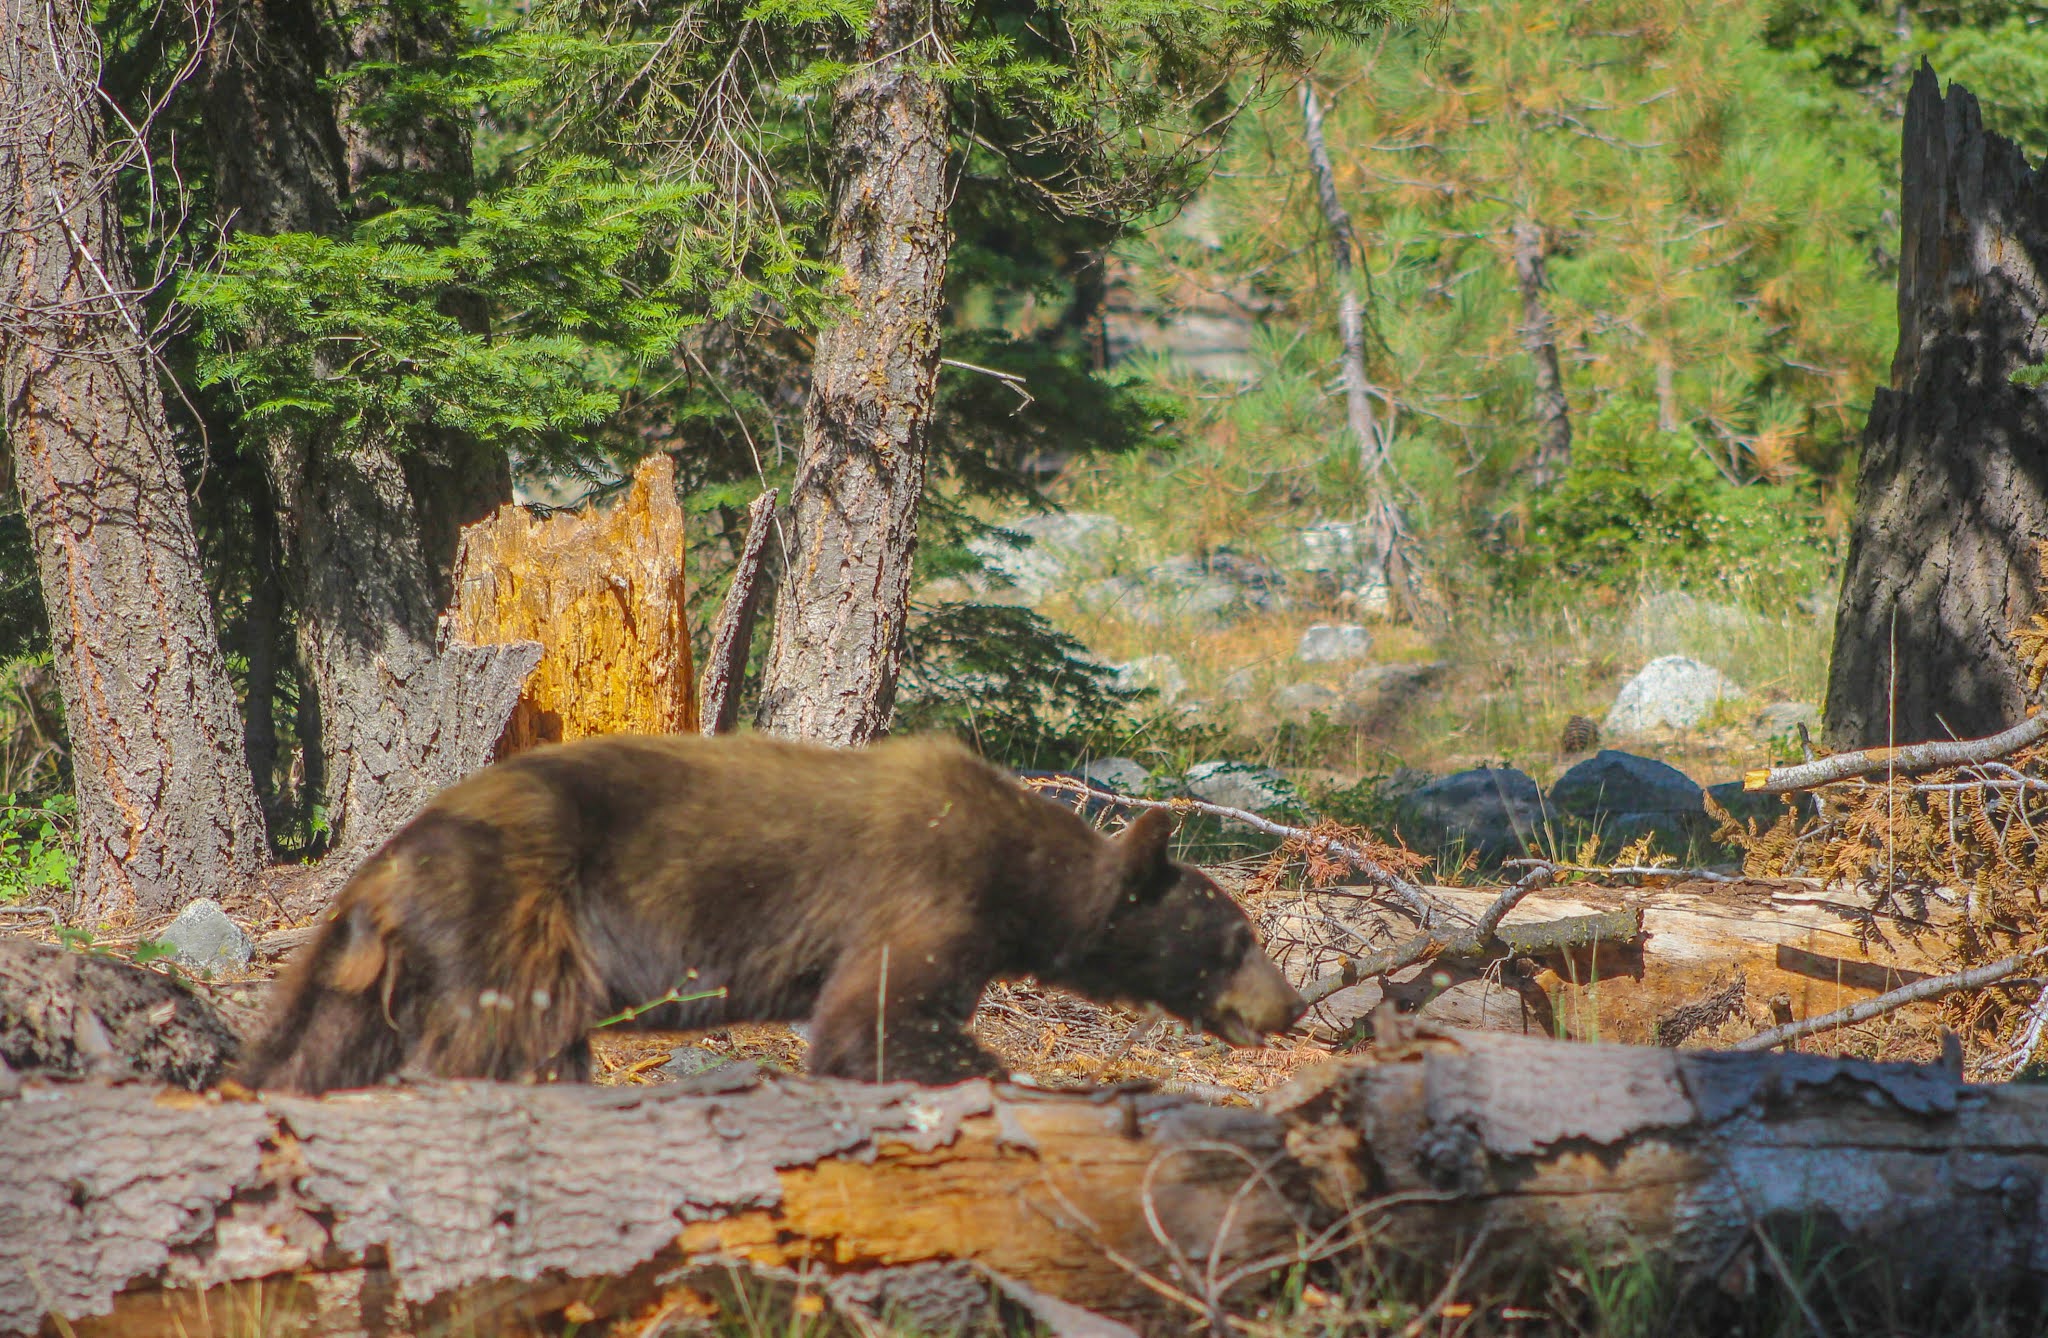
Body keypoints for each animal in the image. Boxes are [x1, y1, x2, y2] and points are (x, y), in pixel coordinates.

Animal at [239, 732, 1306, 1092]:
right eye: (1241, 936)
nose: (1293, 1005)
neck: (1023, 870)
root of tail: (385, 860)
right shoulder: (926, 891)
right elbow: (875, 1020)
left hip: (377, 963)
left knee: (322, 1042)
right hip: (513, 911)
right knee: (514, 1034)